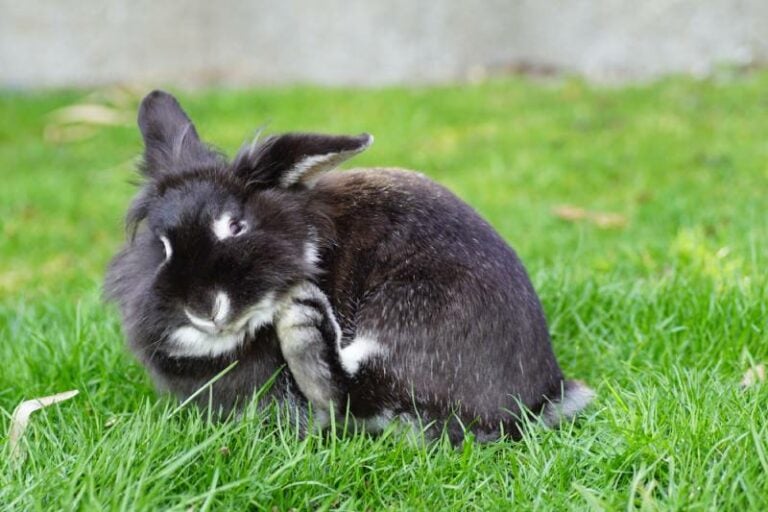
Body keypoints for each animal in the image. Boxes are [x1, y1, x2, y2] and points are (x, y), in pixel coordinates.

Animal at [105, 90, 594, 443]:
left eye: (236, 226)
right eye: (160, 245)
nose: (204, 308)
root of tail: (541, 398)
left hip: (416, 314)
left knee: (358, 392)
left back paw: (303, 322)